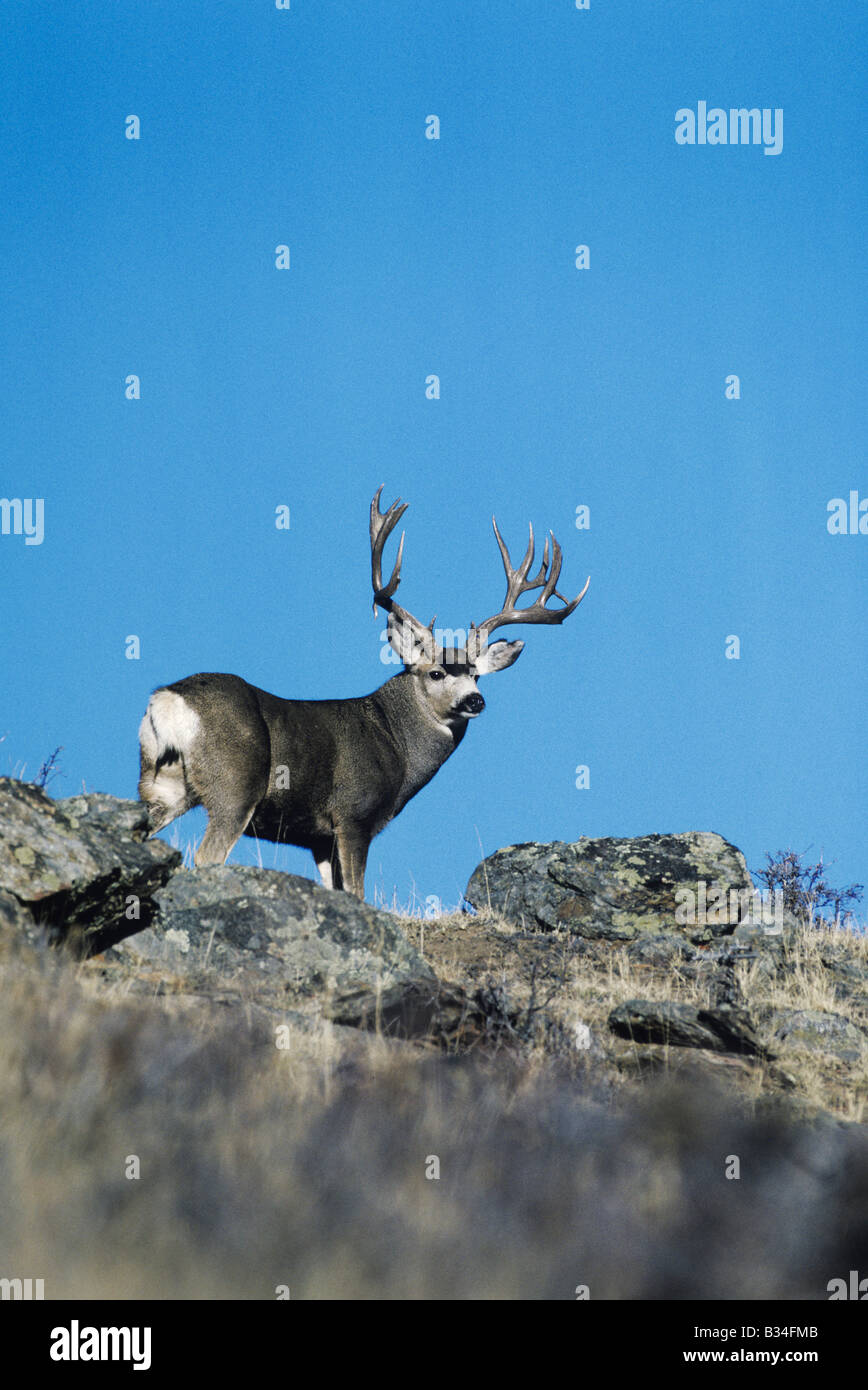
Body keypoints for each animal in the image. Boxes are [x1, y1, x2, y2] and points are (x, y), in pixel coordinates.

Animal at [138, 488, 589, 899]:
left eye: (477, 675)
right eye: (436, 672)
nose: (474, 701)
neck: (395, 742)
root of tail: (167, 700)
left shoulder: (318, 837)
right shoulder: (354, 814)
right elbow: (356, 892)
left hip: (163, 784)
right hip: (236, 783)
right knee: (207, 855)